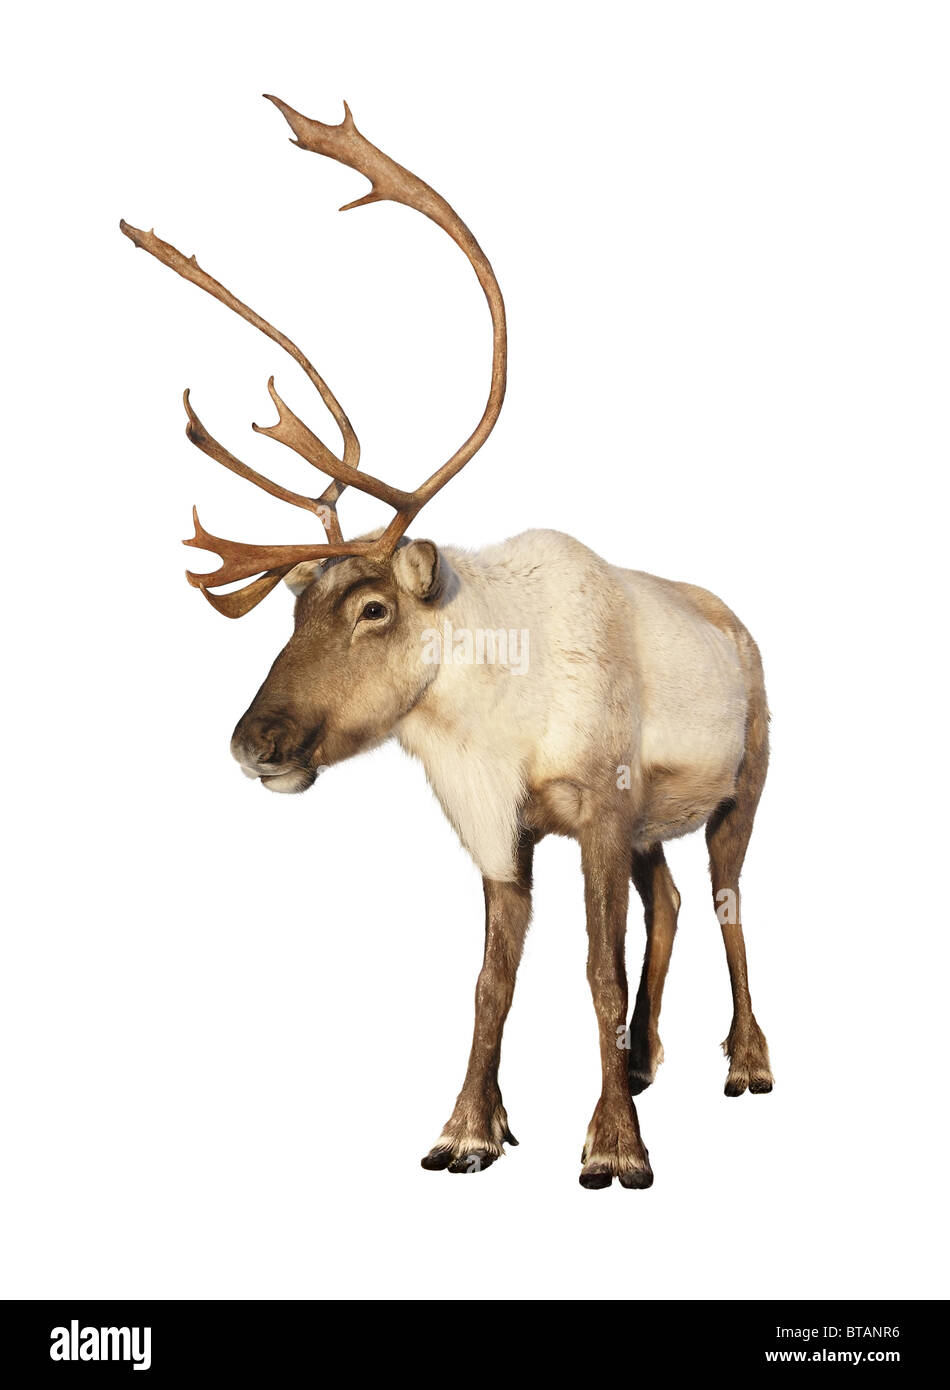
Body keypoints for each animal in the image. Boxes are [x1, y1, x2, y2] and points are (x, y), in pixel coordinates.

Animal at [120, 95, 773, 1190]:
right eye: (294, 608)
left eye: (373, 609)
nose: (253, 742)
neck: (490, 713)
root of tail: (739, 623)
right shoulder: (503, 824)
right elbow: (489, 979)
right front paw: (470, 1127)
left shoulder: (602, 806)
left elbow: (593, 970)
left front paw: (613, 1149)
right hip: (657, 820)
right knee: (674, 901)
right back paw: (644, 1062)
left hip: (741, 788)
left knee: (724, 901)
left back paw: (746, 1063)